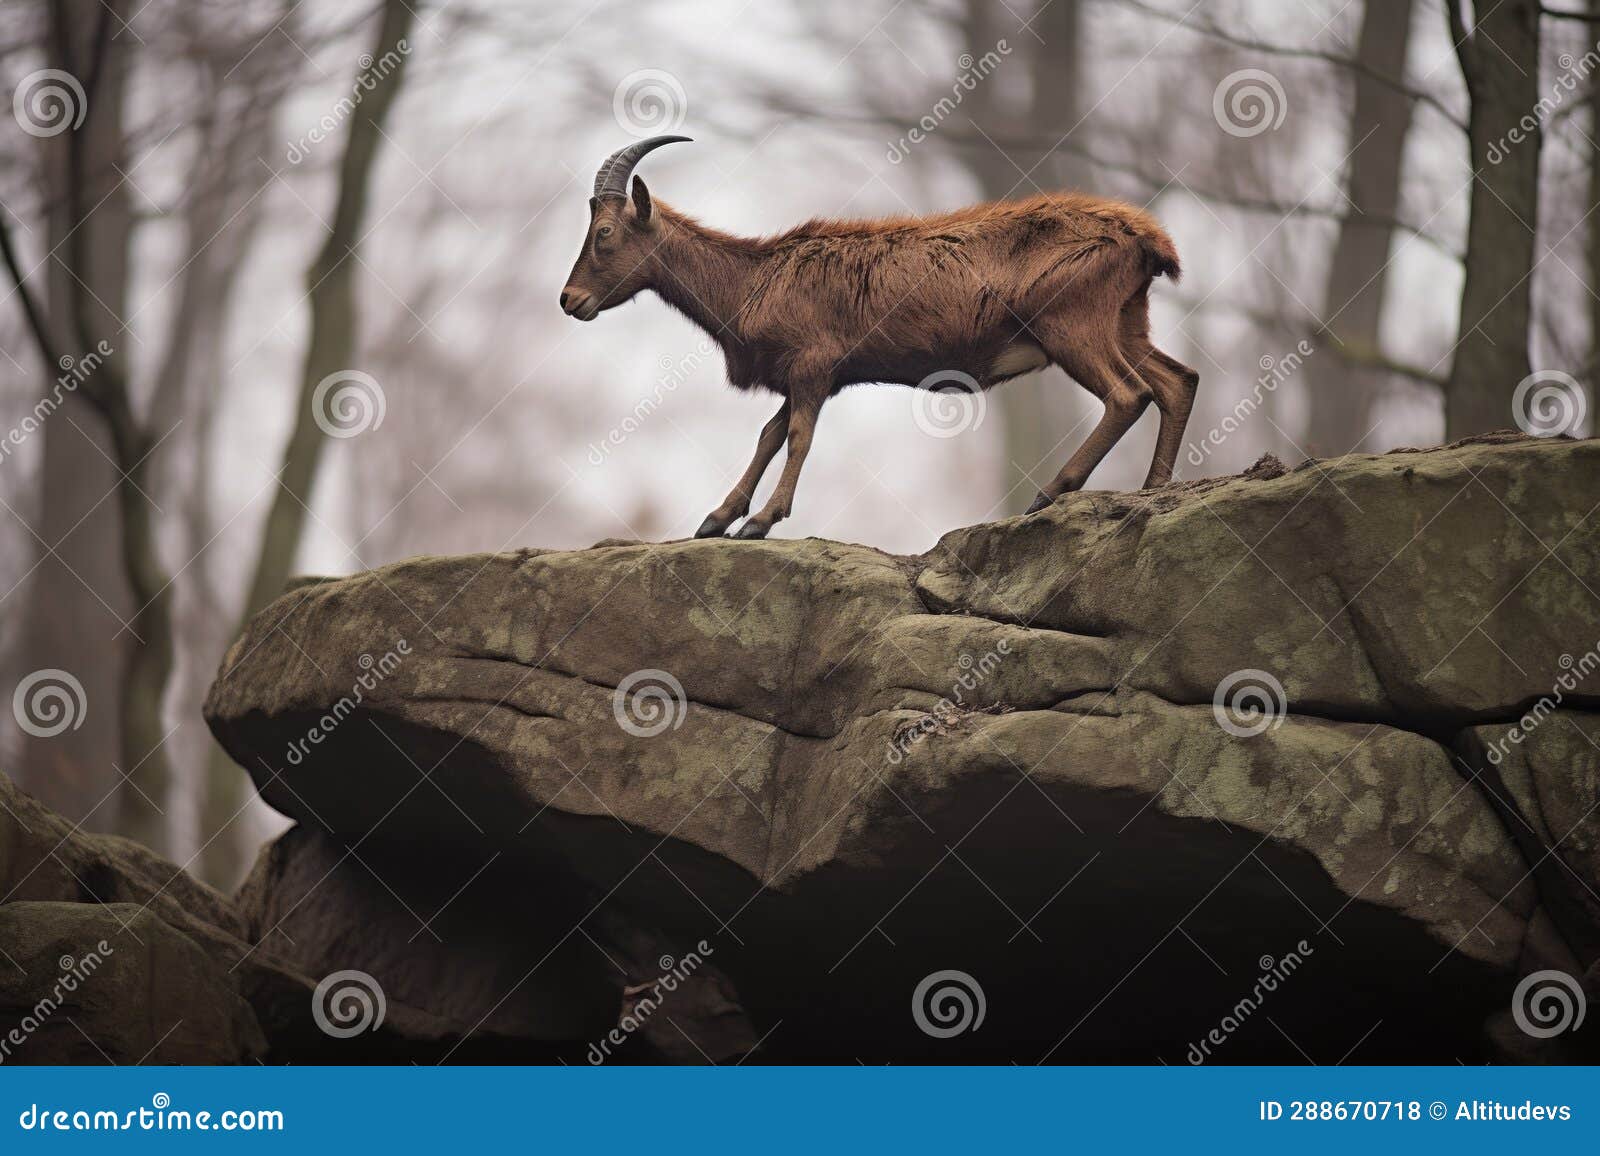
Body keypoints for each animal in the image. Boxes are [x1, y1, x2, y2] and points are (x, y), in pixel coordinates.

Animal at [561, 136, 1199, 539]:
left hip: (1070, 323)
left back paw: (1052, 491)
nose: (569, 301)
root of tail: (1146, 240)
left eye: (605, 232)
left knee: (1129, 393)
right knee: (1177, 380)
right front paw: (717, 518)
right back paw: (1153, 490)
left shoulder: (814, 365)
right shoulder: (809, 374)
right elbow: (769, 433)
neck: (755, 279)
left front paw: (761, 521)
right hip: (1126, 320)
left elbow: (796, 436)